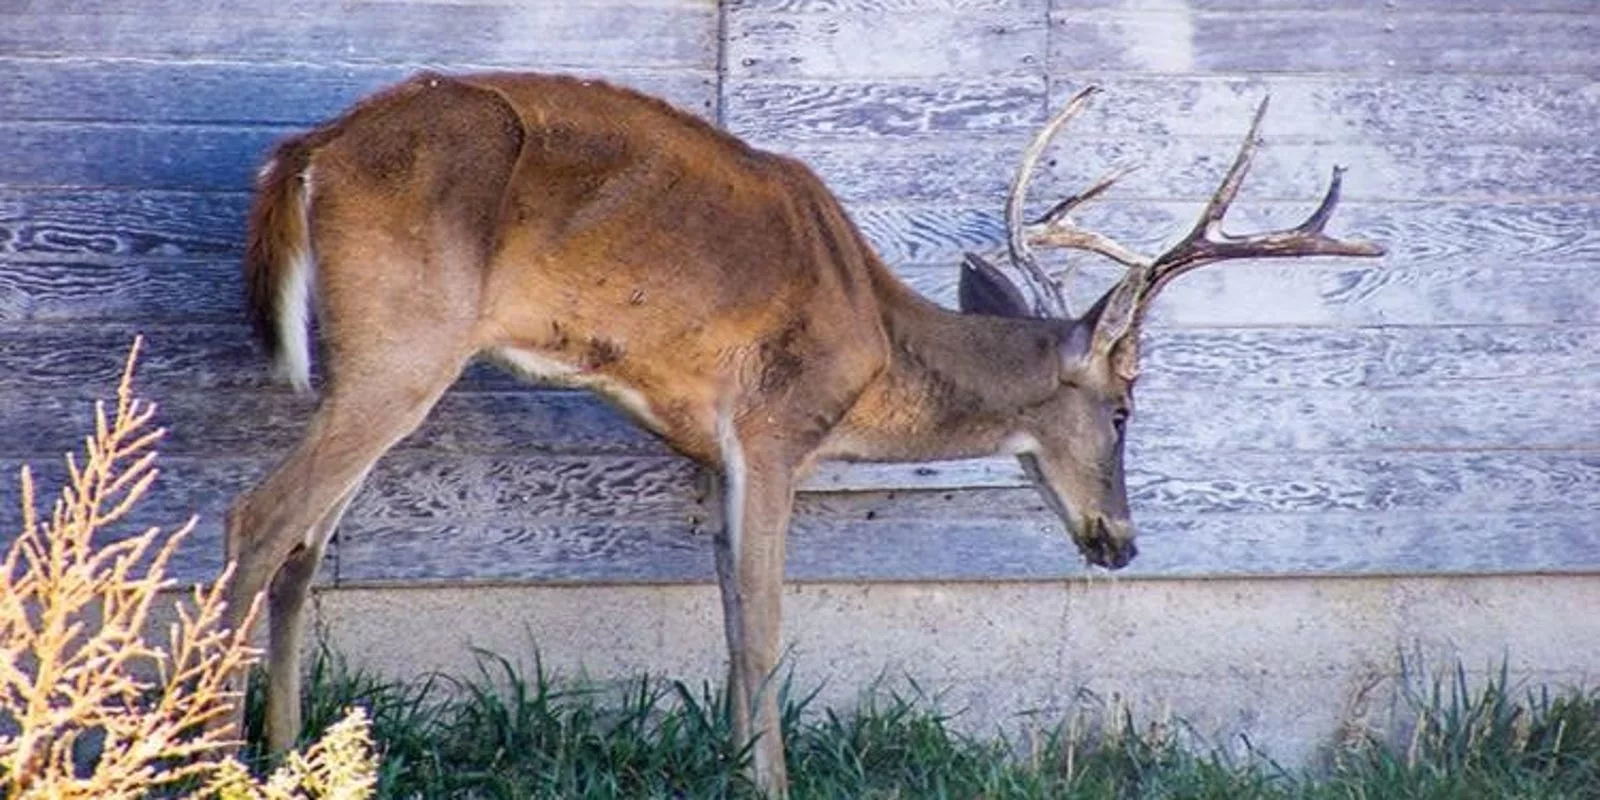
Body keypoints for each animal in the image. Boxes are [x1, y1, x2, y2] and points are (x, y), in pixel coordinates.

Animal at [225, 72, 1388, 796]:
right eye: (1125, 406)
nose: (1122, 540)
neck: (874, 343)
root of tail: (305, 154)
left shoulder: (711, 455)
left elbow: (732, 616)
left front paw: (736, 765)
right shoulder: (776, 426)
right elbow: (768, 626)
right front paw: (768, 782)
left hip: (378, 357)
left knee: (303, 546)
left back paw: (289, 756)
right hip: (406, 340)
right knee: (259, 516)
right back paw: (209, 746)